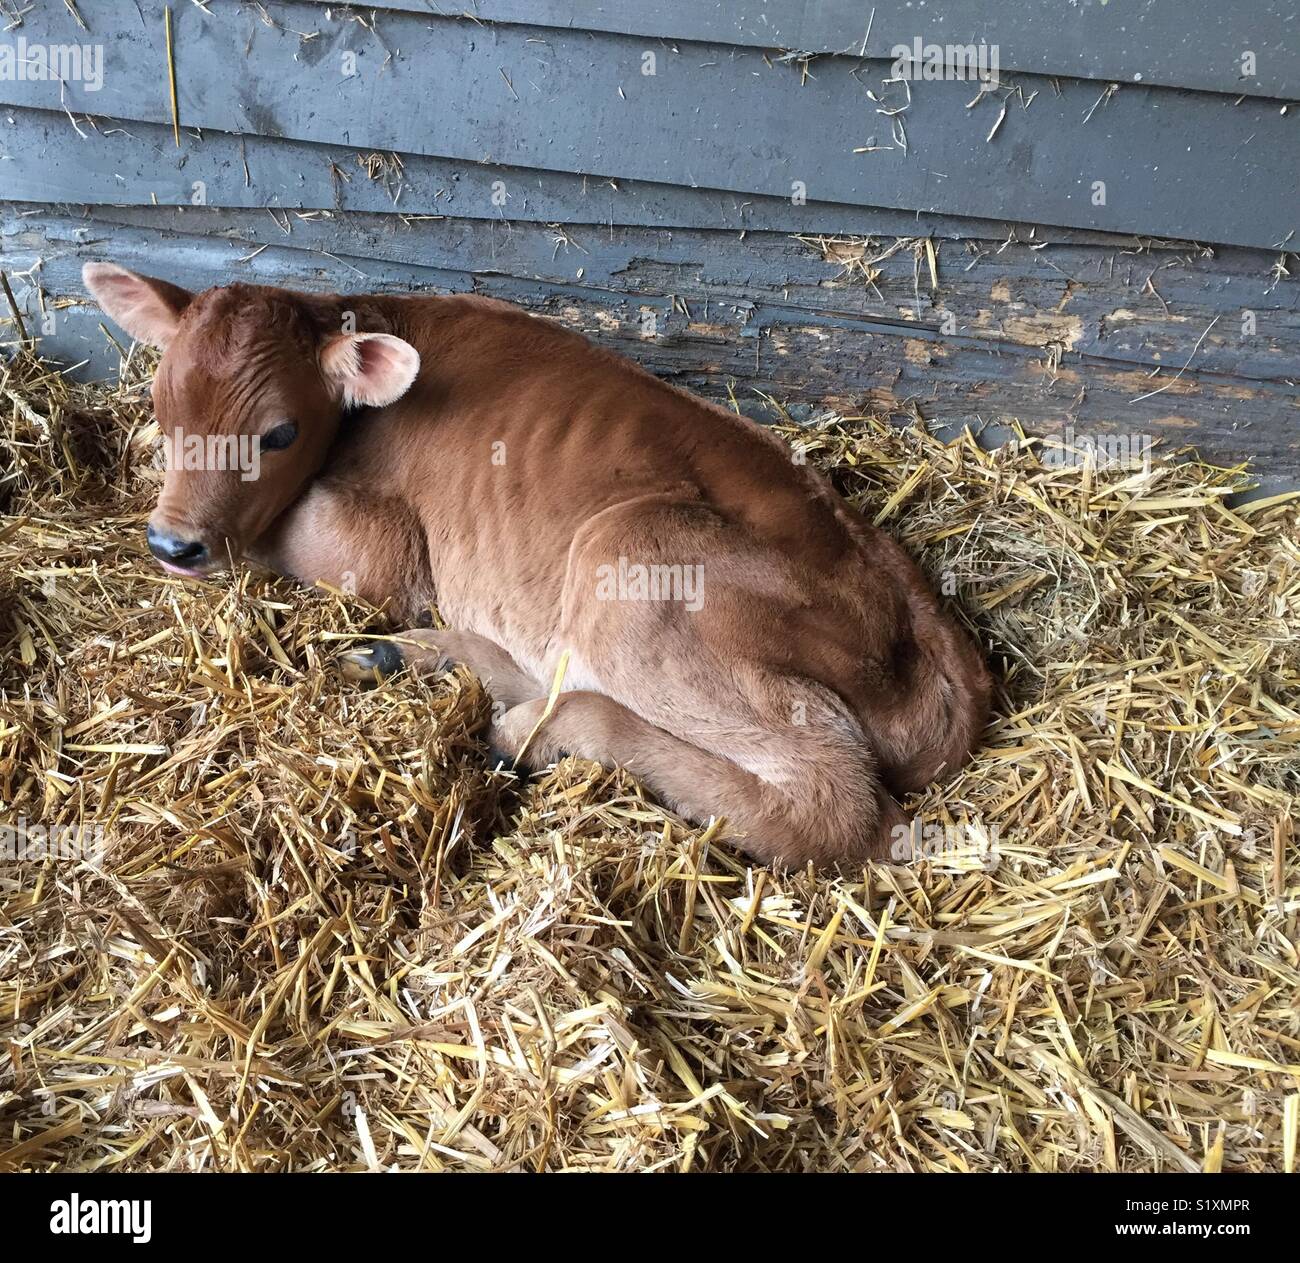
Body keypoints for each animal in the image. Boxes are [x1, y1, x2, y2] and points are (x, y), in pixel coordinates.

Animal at [82, 261, 991, 868]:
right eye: (161, 401)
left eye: (277, 433)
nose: (172, 543)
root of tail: (938, 641)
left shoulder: (388, 552)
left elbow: (299, 544)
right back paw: (409, 661)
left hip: (633, 560)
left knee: (831, 802)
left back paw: (534, 731)